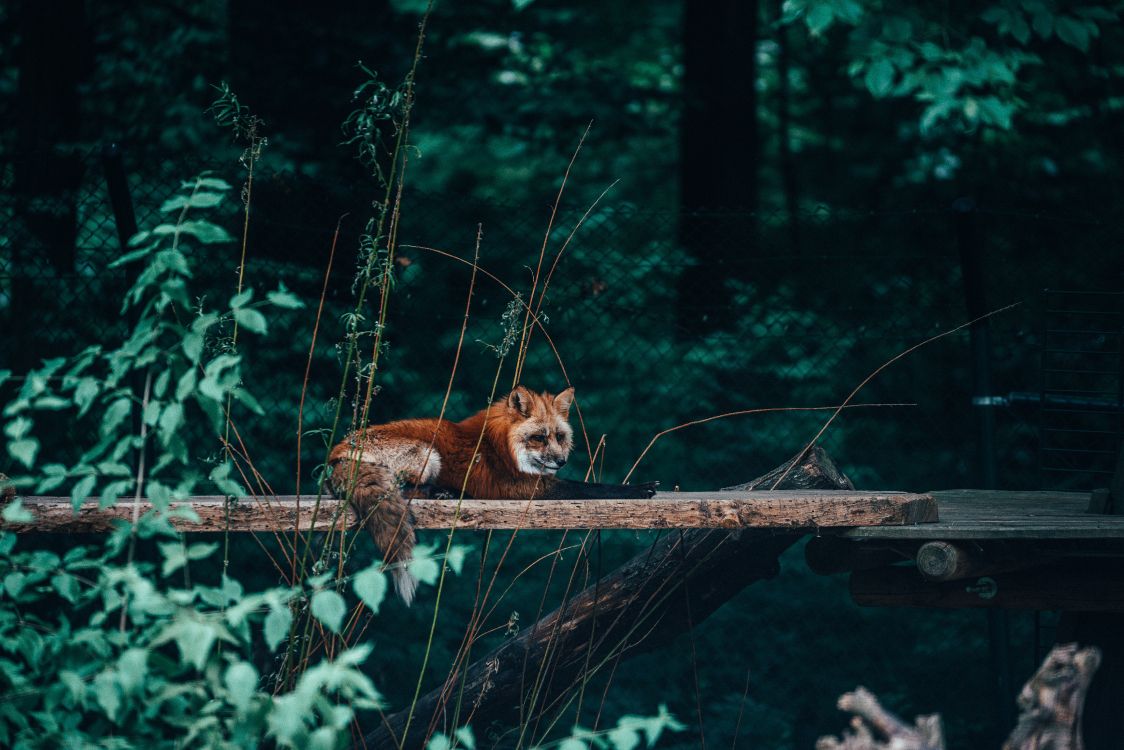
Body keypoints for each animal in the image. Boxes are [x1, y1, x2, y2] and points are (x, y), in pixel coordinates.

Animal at [328, 385, 655, 605]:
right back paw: (446, 492)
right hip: (428, 455)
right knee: (407, 491)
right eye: (539, 438)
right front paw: (639, 489)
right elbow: (594, 487)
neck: (501, 445)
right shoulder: (527, 488)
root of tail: (337, 454)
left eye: (560, 436)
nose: (561, 461)